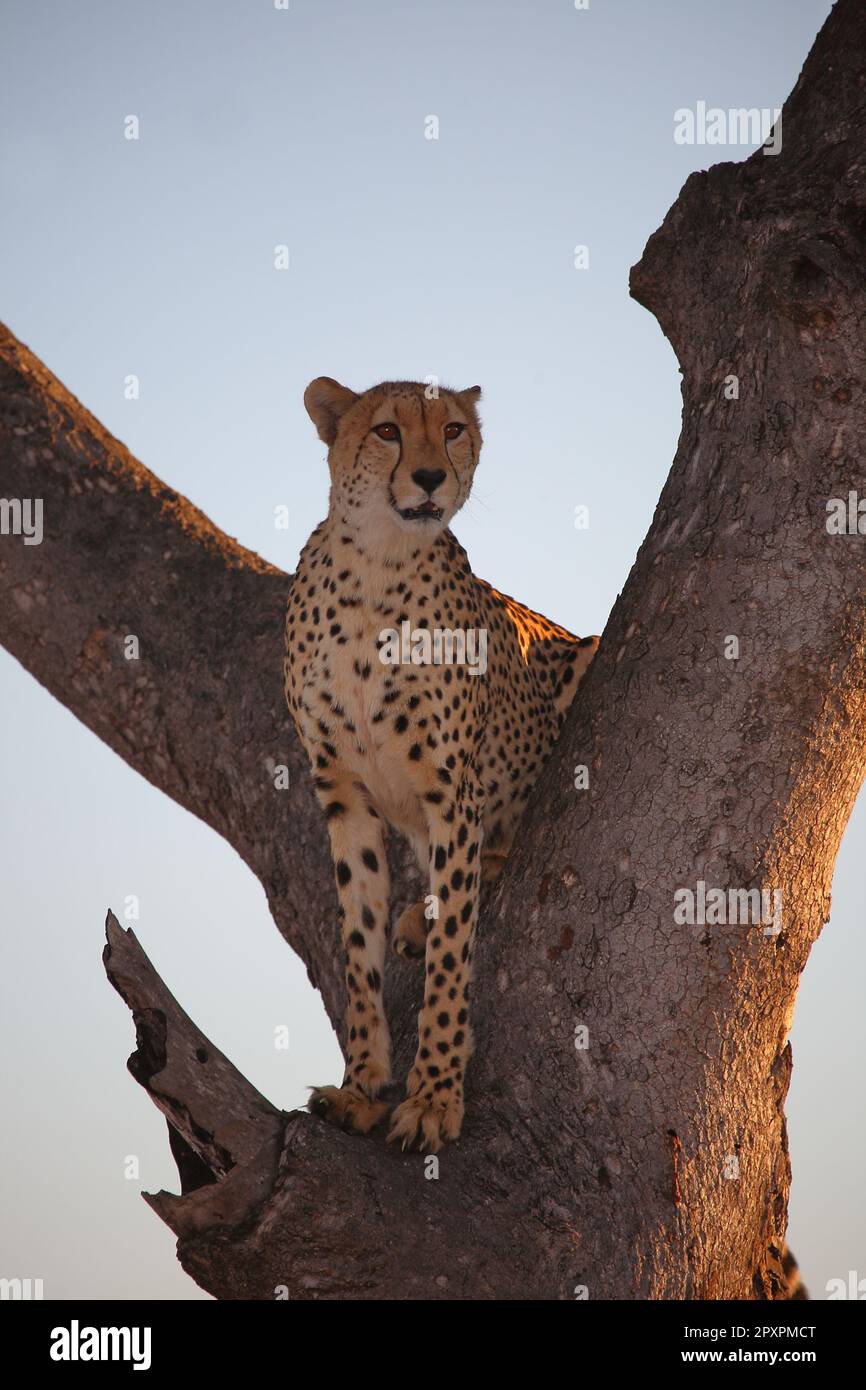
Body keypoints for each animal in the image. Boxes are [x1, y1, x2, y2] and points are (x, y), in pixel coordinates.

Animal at [283, 376, 598, 1151]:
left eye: (453, 429)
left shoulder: (453, 792)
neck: (377, 565)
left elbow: (455, 957)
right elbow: (356, 944)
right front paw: (362, 1086)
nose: (430, 477)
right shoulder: (343, 794)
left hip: (584, 650)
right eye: (388, 430)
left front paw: (432, 1097)